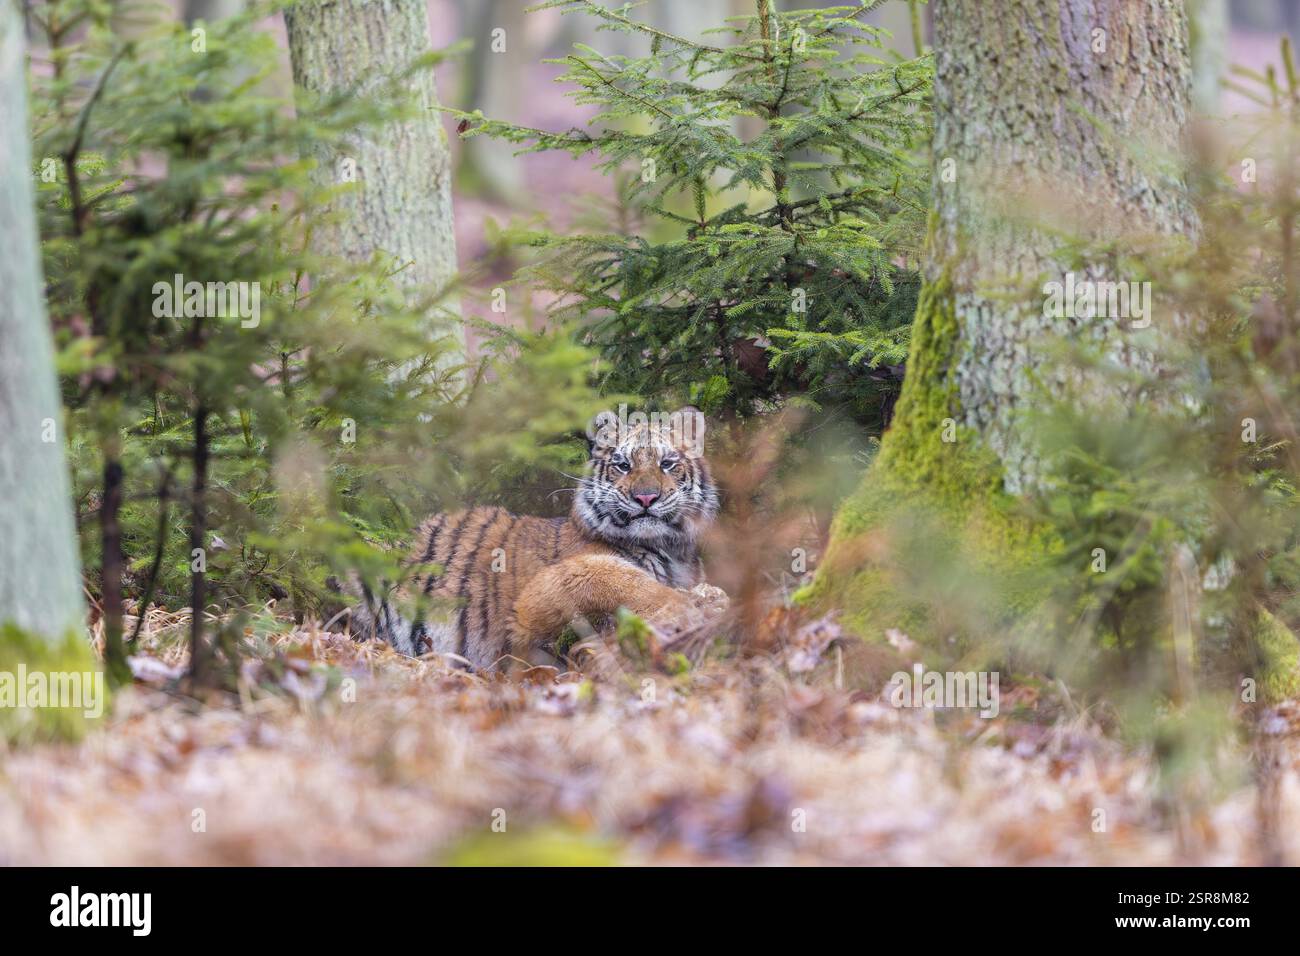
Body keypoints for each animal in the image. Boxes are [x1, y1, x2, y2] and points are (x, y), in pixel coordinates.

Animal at [349, 409, 719, 670]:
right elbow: (628, 581)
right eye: (623, 465)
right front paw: (691, 608)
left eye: (667, 464)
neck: (670, 550)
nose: (645, 498)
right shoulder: (554, 582)